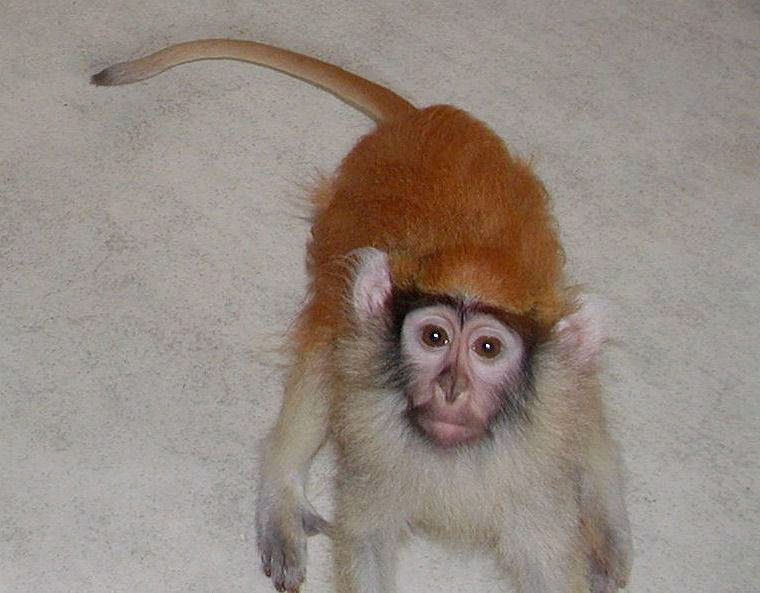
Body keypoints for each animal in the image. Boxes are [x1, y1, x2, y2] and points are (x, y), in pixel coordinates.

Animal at [92, 39, 632, 593]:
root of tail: (422, 122)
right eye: (433, 336)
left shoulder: (541, 448)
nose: (451, 387)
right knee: (324, 349)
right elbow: (367, 539)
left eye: (488, 347)